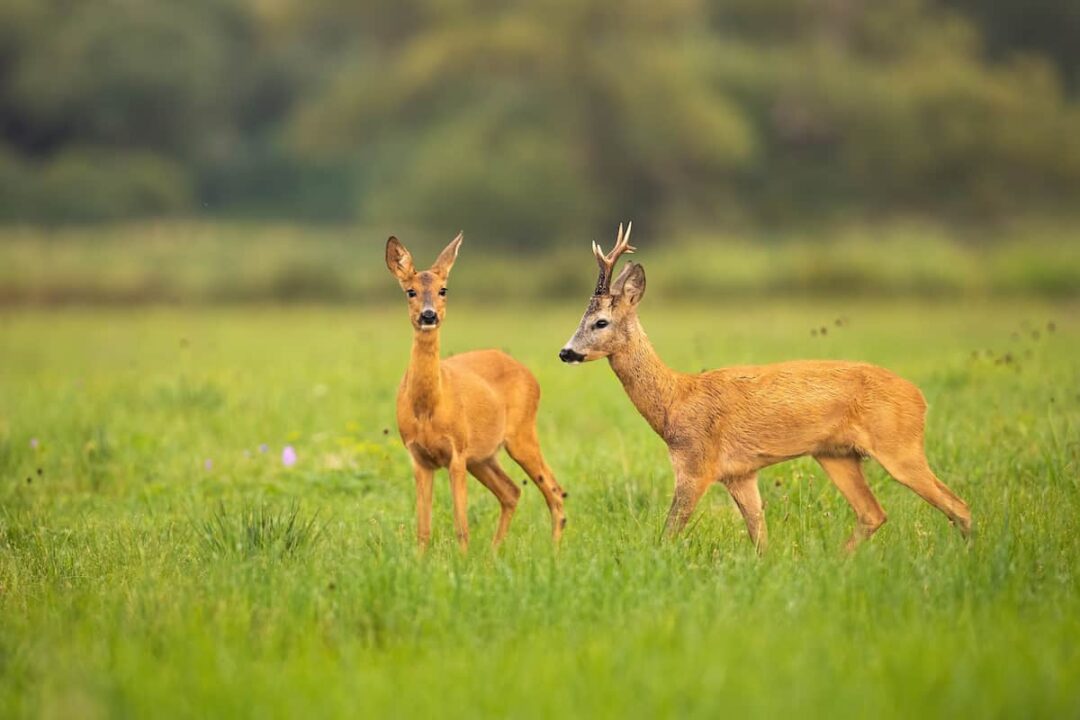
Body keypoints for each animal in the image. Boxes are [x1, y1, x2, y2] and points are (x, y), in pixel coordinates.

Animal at [386, 232, 567, 551]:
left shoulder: (456, 452)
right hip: (483, 457)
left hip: (520, 434)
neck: (428, 408)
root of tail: (530, 375)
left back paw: (554, 553)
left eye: (443, 289)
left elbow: (462, 526)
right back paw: (494, 553)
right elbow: (423, 529)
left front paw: (462, 559)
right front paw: (420, 561)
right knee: (511, 491)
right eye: (410, 291)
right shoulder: (418, 457)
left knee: (554, 490)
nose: (429, 315)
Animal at [558, 223, 971, 553]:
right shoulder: (741, 473)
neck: (675, 401)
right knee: (874, 512)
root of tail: (920, 399)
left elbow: (670, 530)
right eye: (581, 318)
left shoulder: (695, 463)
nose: (565, 352)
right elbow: (759, 533)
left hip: (898, 445)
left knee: (959, 506)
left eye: (600, 322)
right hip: (836, 454)